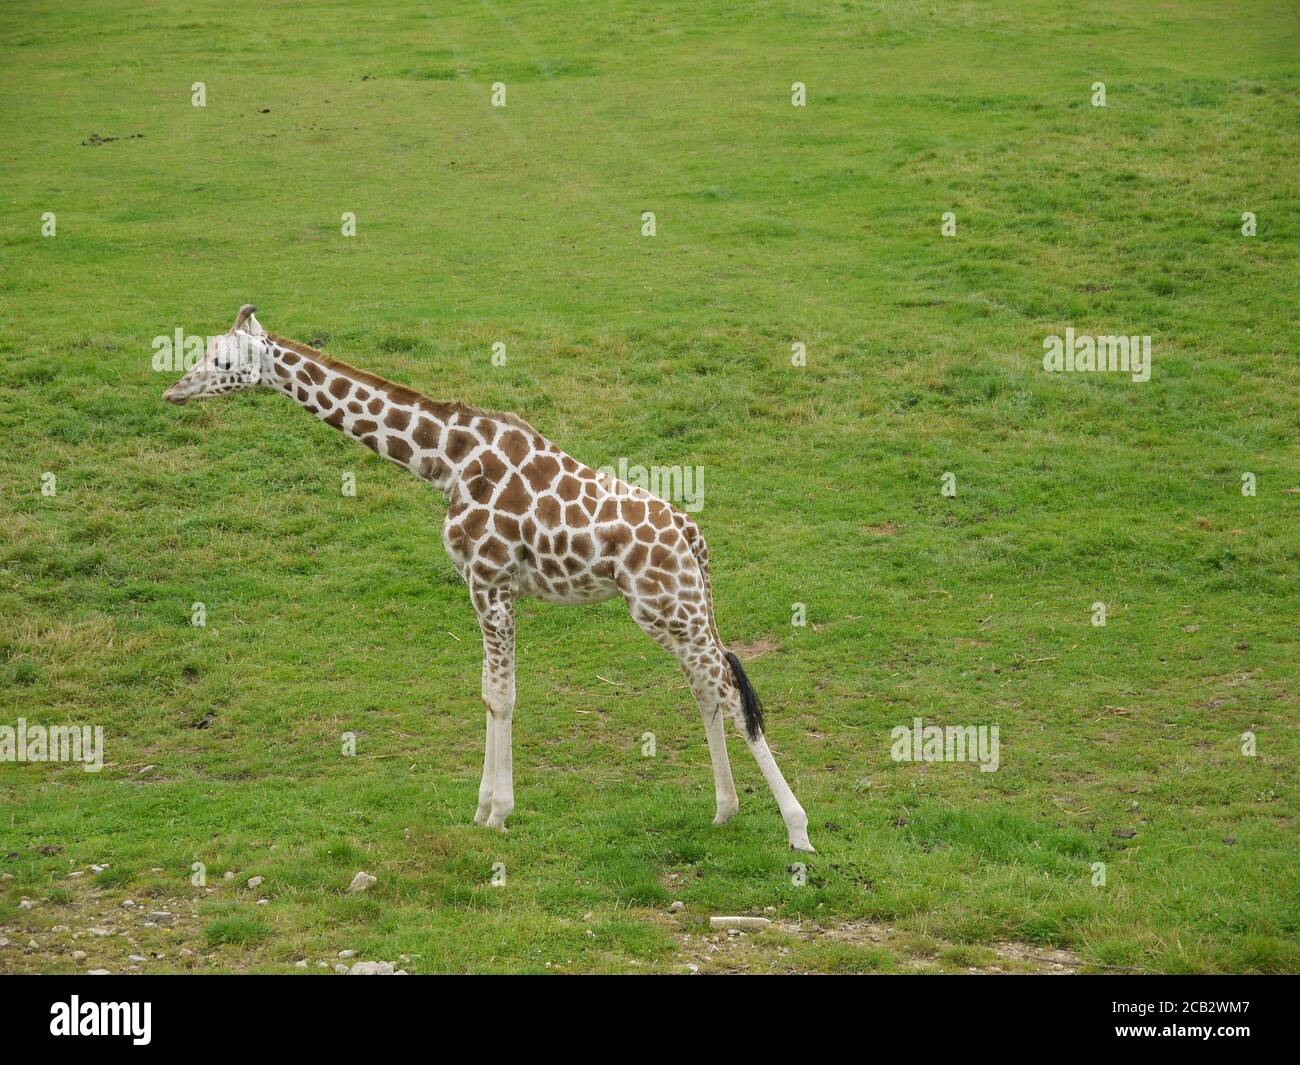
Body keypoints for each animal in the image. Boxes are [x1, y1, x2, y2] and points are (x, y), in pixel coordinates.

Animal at [163, 306, 814, 851]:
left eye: (223, 363)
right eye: (206, 352)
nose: (173, 391)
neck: (445, 462)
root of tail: (693, 536)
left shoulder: (489, 580)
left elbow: (502, 695)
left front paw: (498, 813)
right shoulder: (486, 587)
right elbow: (488, 692)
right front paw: (481, 809)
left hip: (668, 607)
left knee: (729, 689)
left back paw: (798, 830)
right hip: (677, 611)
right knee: (708, 687)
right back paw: (725, 811)